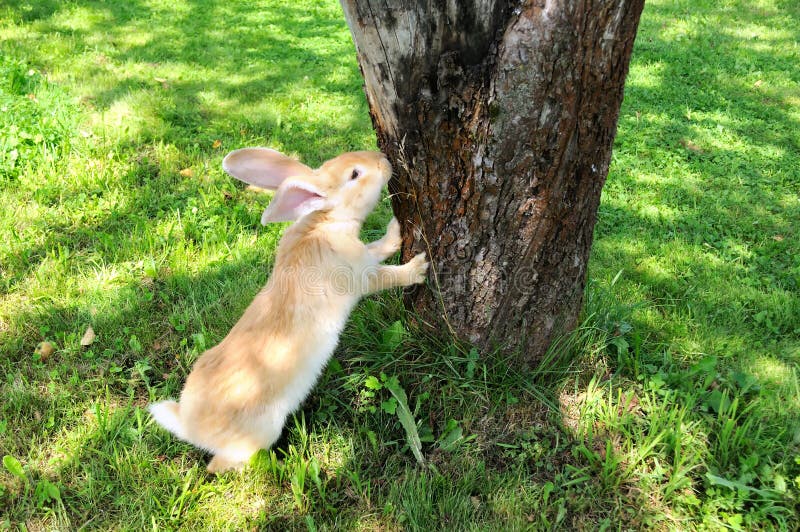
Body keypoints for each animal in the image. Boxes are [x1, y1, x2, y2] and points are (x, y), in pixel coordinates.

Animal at [148, 147, 428, 473]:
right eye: (355, 174)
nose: (383, 159)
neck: (325, 221)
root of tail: (189, 427)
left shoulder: (365, 255)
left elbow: (379, 247)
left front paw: (395, 230)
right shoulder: (361, 276)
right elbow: (387, 276)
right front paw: (418, 267)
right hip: (261, 431)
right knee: (221, 465)